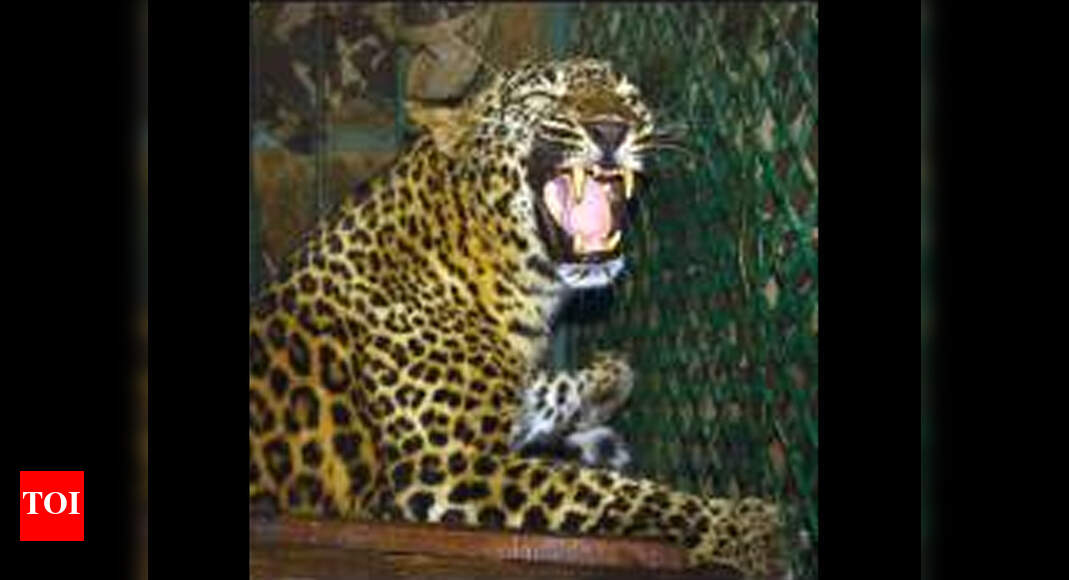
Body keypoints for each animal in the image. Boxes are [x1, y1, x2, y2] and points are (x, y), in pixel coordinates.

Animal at [249, 57, 781, 577]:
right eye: (543, 96)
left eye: (627, 95)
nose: (612, 127)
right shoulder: (449, 471)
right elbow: (611, 494)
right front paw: (742, 527)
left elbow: (538, 394)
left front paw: (608, 380)